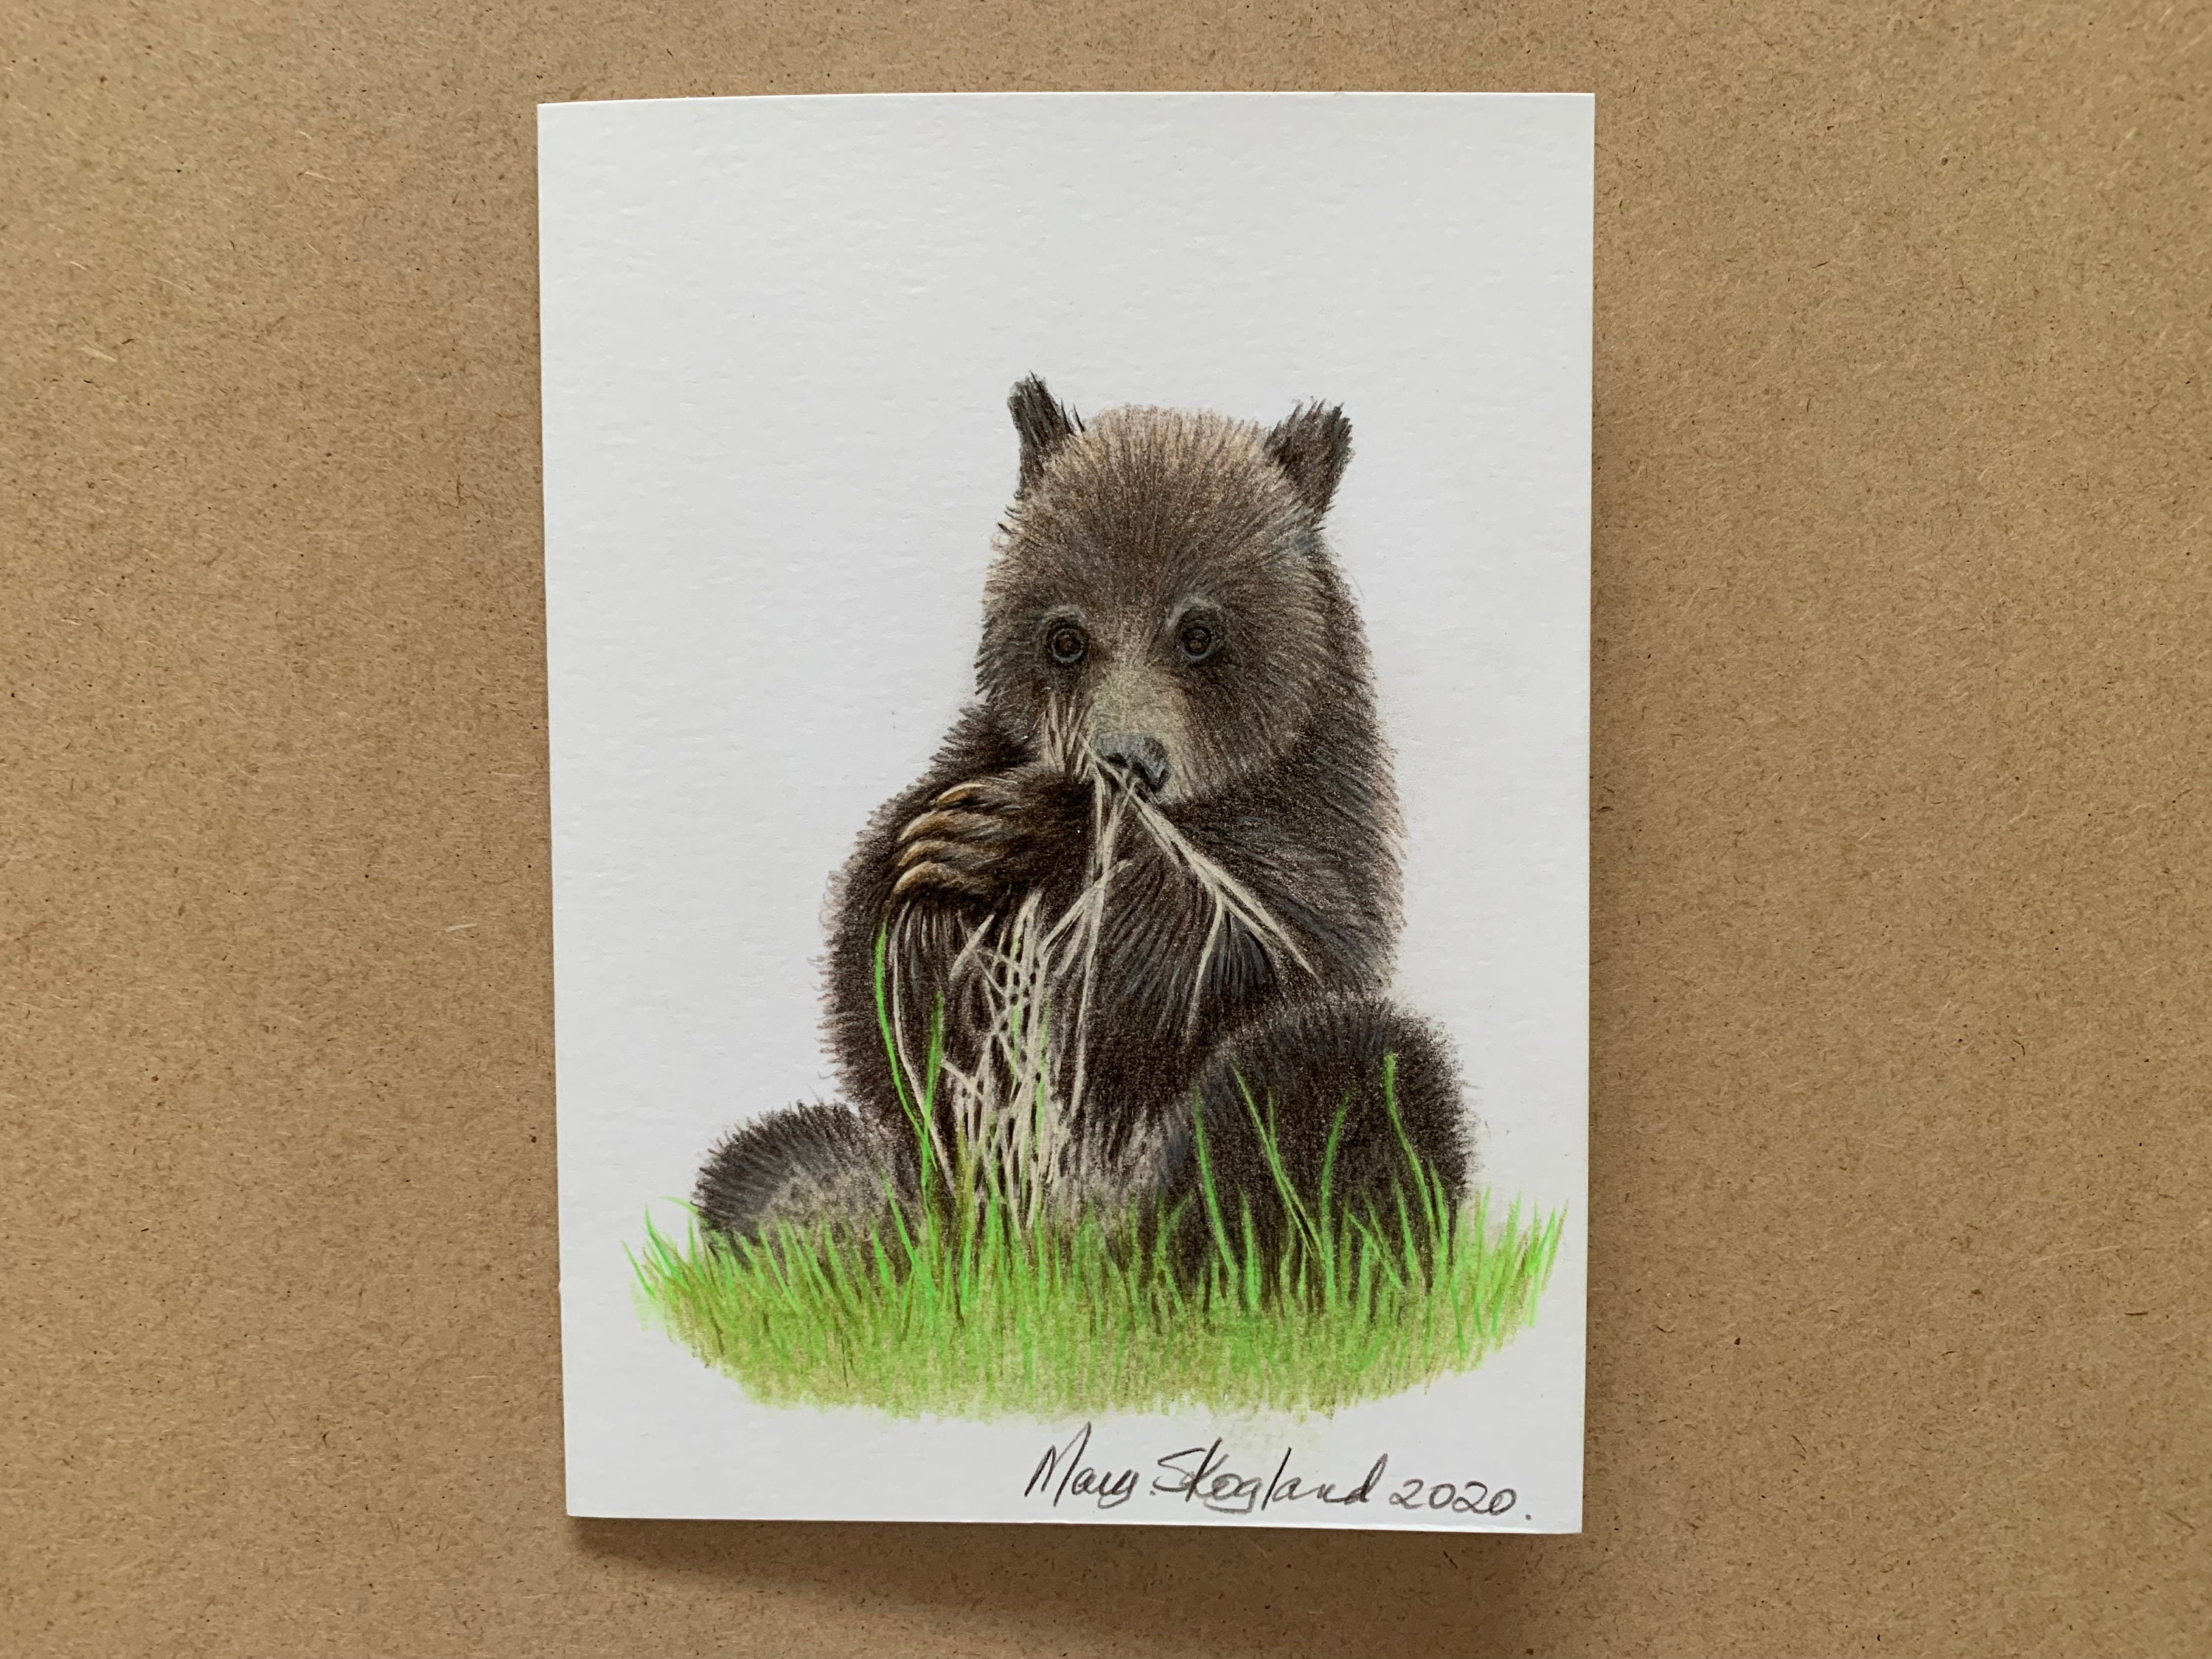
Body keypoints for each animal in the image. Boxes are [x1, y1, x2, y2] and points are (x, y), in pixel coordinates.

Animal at [694, 376, 1468, 1274]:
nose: (1128, 761)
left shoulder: (1324, 813)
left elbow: (1268, 942)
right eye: (1066, 637)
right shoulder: (973, 754)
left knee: (1347, 1076)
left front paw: (1020, 832)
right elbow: (874, 985)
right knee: (780, 1167)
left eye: (1199, 633)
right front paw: (934, 909)